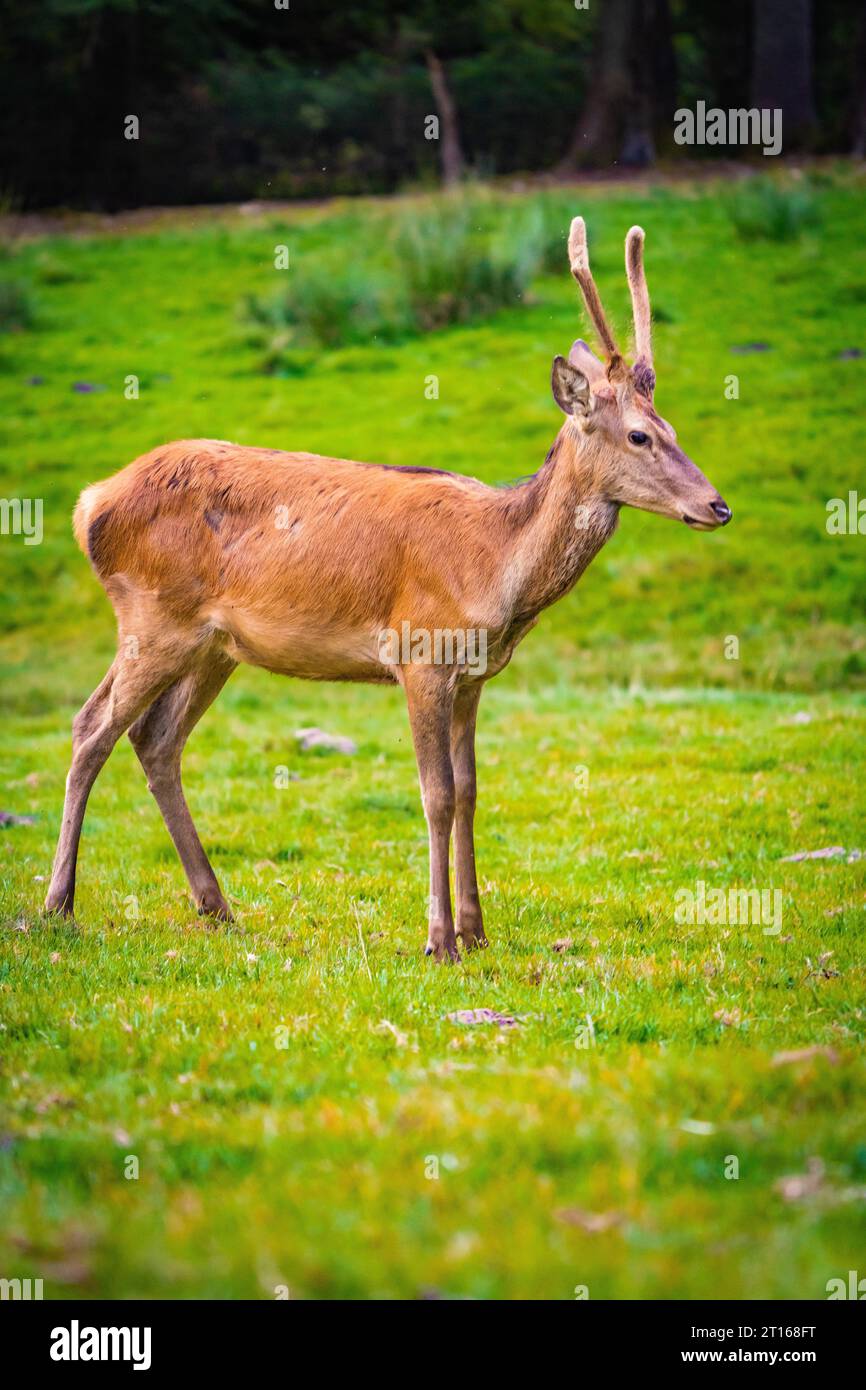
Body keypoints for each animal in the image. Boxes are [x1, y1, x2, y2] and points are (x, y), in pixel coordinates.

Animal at [45, 217, 731, 961]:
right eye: (638, 436)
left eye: (672, 429)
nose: (718, 506)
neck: (496, 570)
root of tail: (89, 504)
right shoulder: (419, 652)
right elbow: (435, 793)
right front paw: (439, 940)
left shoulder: (473, 676)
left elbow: (470, 790)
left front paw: (476, 931)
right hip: (152, 617)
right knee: (90, 728)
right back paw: (58, 905)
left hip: (213, 646)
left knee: (156, 741)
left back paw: (217, 907)